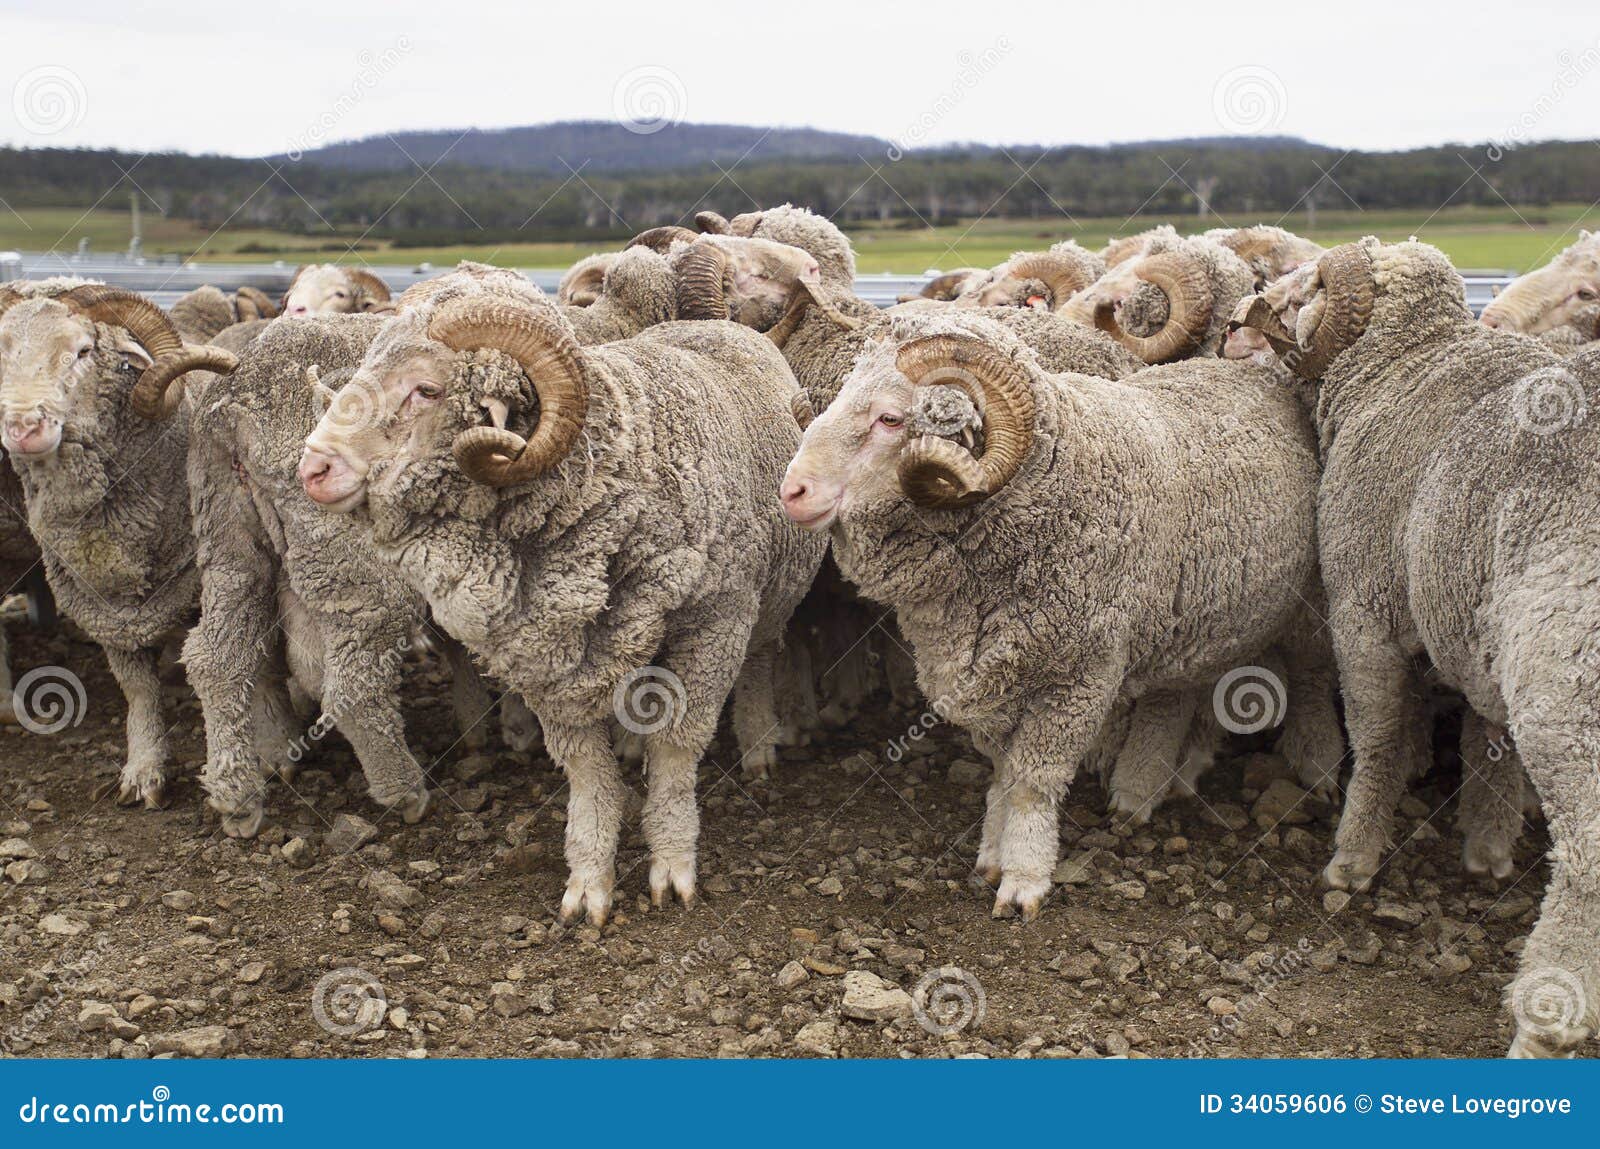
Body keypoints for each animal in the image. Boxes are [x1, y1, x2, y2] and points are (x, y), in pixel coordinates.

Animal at [297, 287, 828, 925]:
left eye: (425, 389)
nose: (312, 469)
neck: (623, 470)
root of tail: (726, 327)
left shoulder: (715, 621)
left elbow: (678, 746)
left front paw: (673, 867)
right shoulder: (544, 655)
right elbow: (585, 770)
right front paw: (589, 884)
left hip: (769, 593)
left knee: (759, 660)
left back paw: (757, 748)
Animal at [779, 309, 1330, 919]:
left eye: (890, 418)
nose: (791, 491)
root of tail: (1256, 373)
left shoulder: (1080, 677)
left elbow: (1030, 781)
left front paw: (1023, 882)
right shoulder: (995, 677)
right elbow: (1003, 772)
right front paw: (991, 857)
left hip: (1307, 612)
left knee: (1312, 679)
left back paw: (1318, 775)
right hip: (1186, 615)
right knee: (1174, 694)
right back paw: (1145, 790)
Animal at [1239, 236, 1600, 1057]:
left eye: (1301, 288)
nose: (1241, 318)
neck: (1403, 363)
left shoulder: (1364, 609)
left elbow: (1376, 738)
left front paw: (1352, 861)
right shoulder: (1476, 619)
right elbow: (1487, 739)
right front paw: (1488, 850)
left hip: (1570, 700)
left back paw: (1545, 1022)